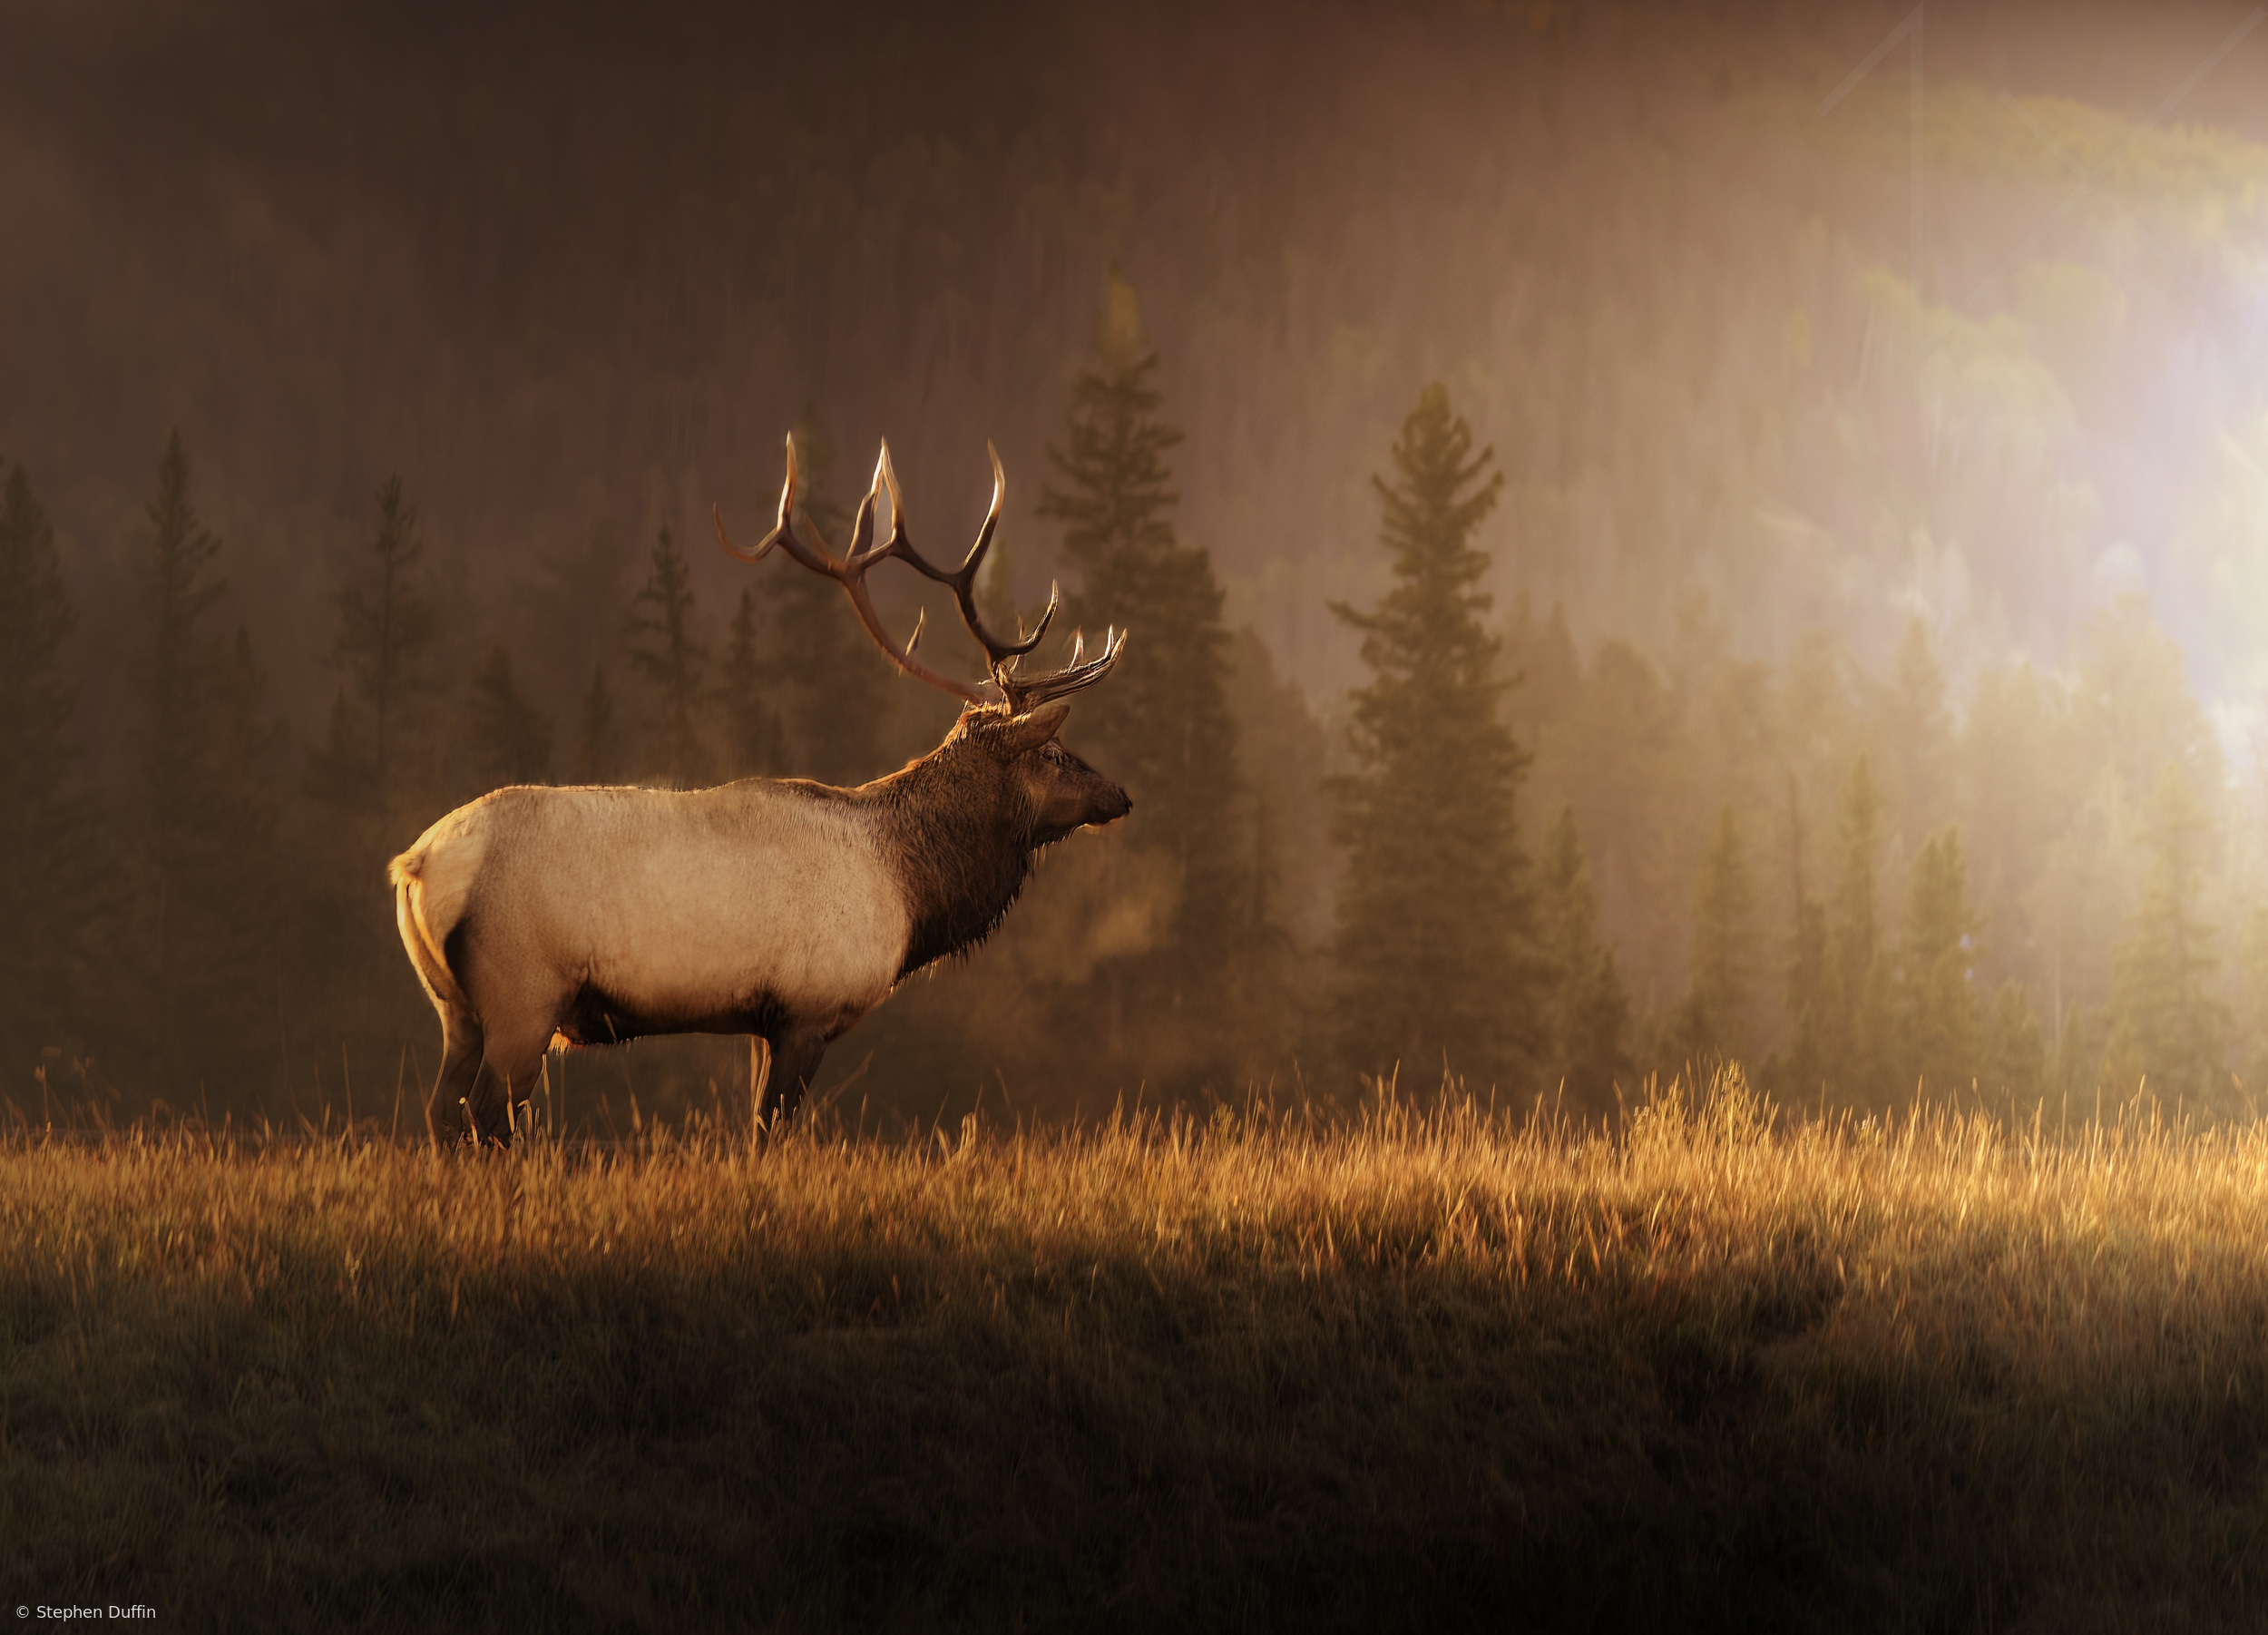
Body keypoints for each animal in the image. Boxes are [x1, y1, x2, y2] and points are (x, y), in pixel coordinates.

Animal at [388, 435, 1129, 1146]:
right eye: (1055, 754)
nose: (1121, 795)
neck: (910, 890)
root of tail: (416, 865)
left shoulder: (757, 1023)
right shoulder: (809, 1009)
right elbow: (773, 1131)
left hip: (454, 1007)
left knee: (441, 1112)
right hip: (524, 994)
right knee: (486, 1116)